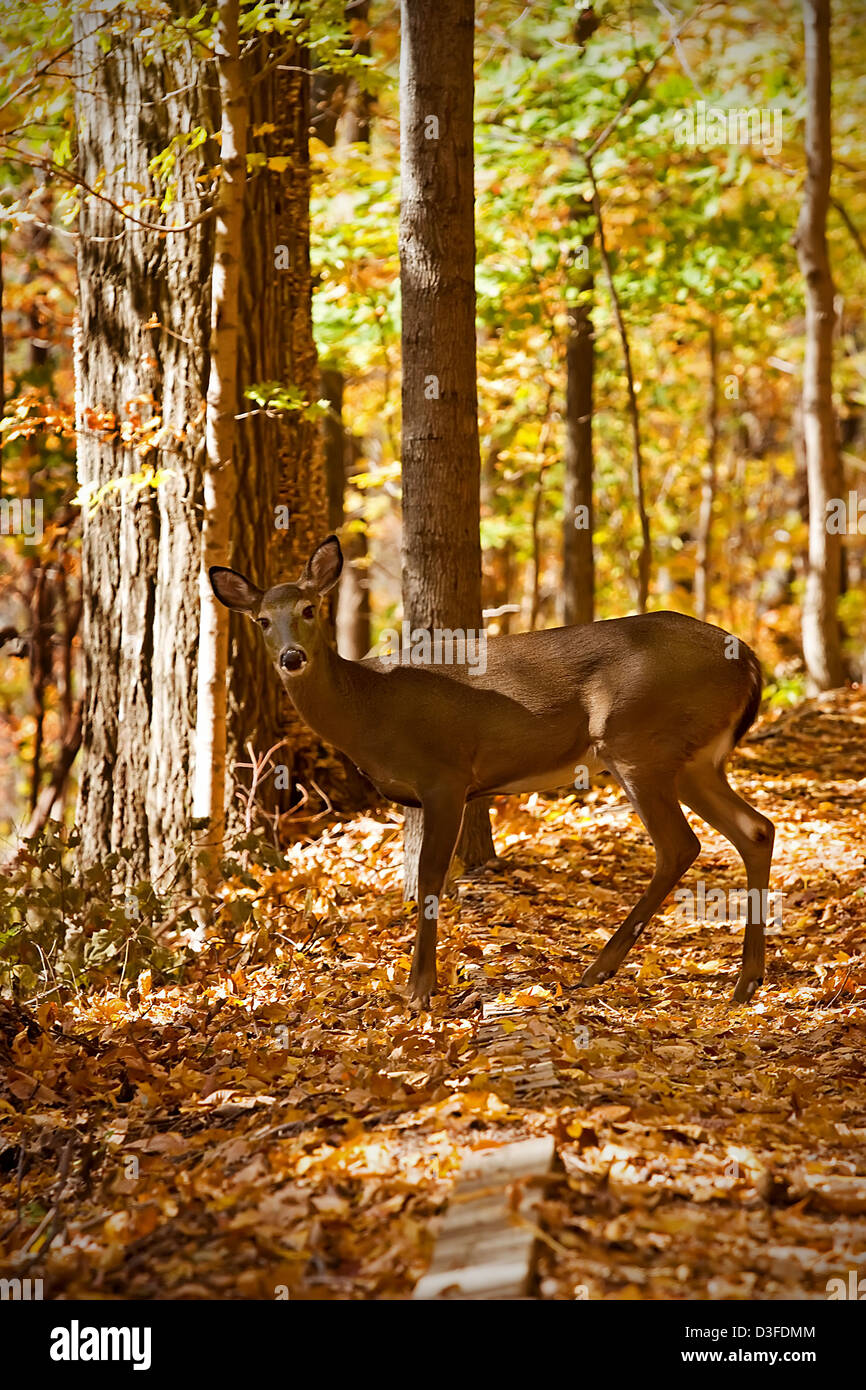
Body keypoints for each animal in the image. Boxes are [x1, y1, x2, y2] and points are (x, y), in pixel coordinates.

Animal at [210, 535, 774, 1011]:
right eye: (261, 620)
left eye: (309, 609)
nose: (292, 657)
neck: (369, 705)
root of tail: (747, 658)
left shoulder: (446, 774)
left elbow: (431, 876)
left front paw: (419, 990)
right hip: (696, 760)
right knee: (756, 829)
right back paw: (747, 980)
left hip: (639, 742)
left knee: (680, 844)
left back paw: (600, 968)